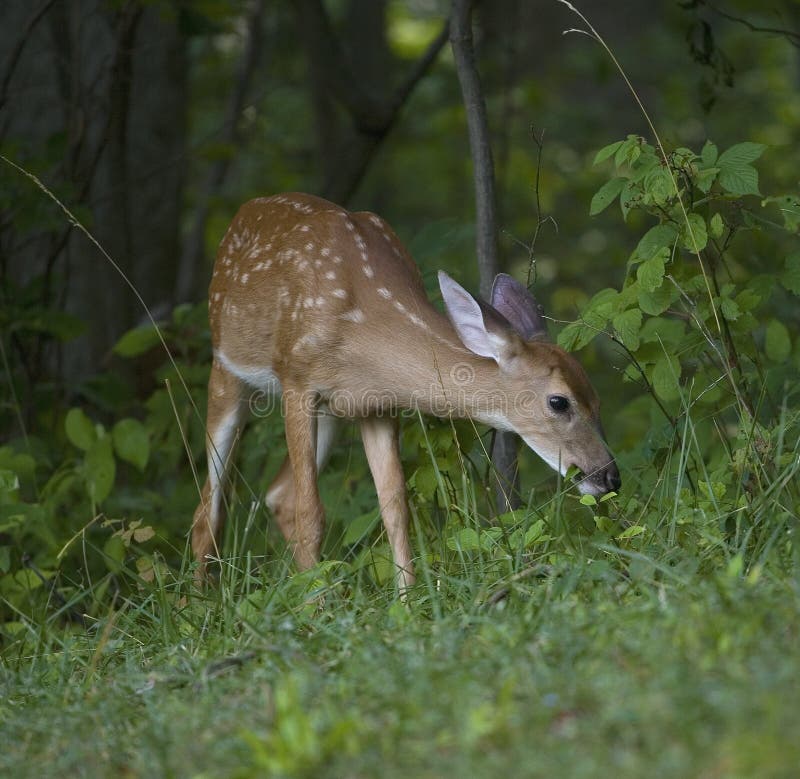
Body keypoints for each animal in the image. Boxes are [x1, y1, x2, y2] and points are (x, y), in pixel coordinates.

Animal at [191, 193, 621, 589]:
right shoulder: (297, 379)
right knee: (209, 509)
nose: (609, 477)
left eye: (598, 399)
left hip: (332, 412)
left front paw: (409, 599)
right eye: (559, 401)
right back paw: (199, 600)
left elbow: (396, 506)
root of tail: (243, 212)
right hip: (226, 368)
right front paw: (316, 609)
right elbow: (311, 512)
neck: (364, 324)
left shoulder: (377, 405)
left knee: (277, 495)